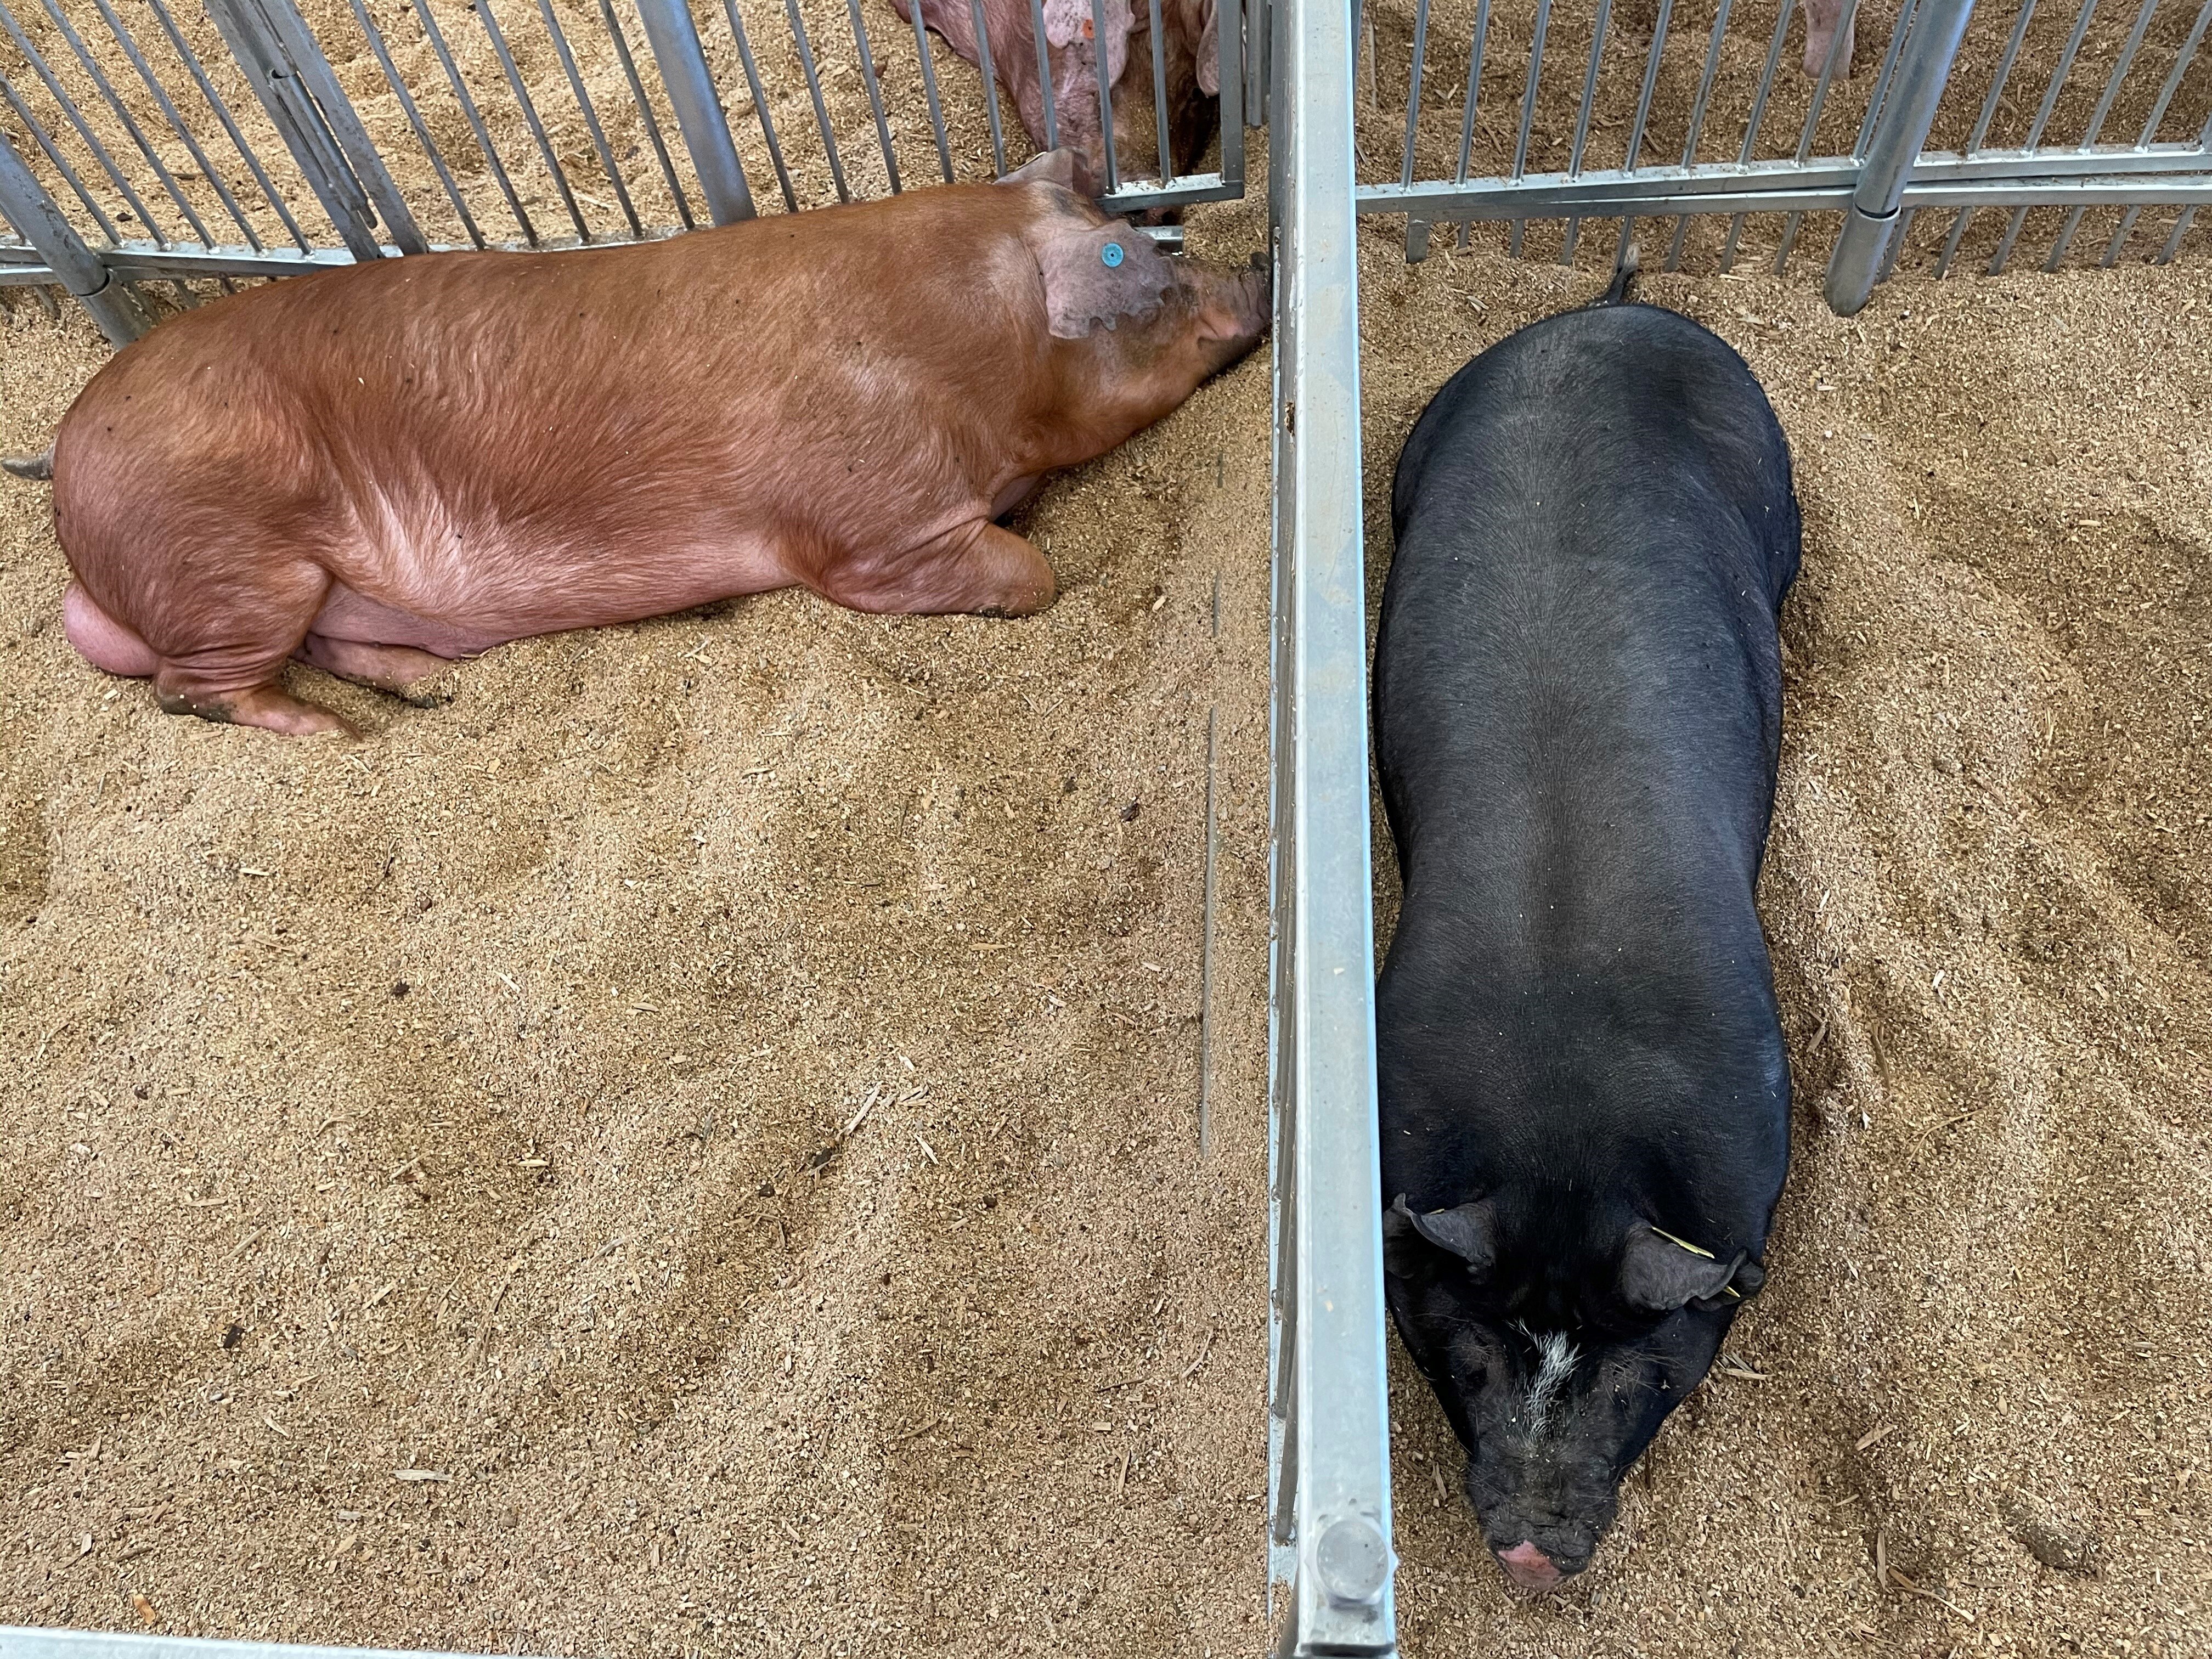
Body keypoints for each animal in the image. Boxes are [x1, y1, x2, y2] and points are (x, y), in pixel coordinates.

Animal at [5, 151, 1268, 736]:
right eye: (1152, 285)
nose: (1260, 265)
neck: (958, 341)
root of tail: (63, 467)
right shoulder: (872, 528)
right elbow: (1032, 575)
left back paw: (431, 692)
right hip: (227, 561)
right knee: (192, 690)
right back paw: (339, 737)